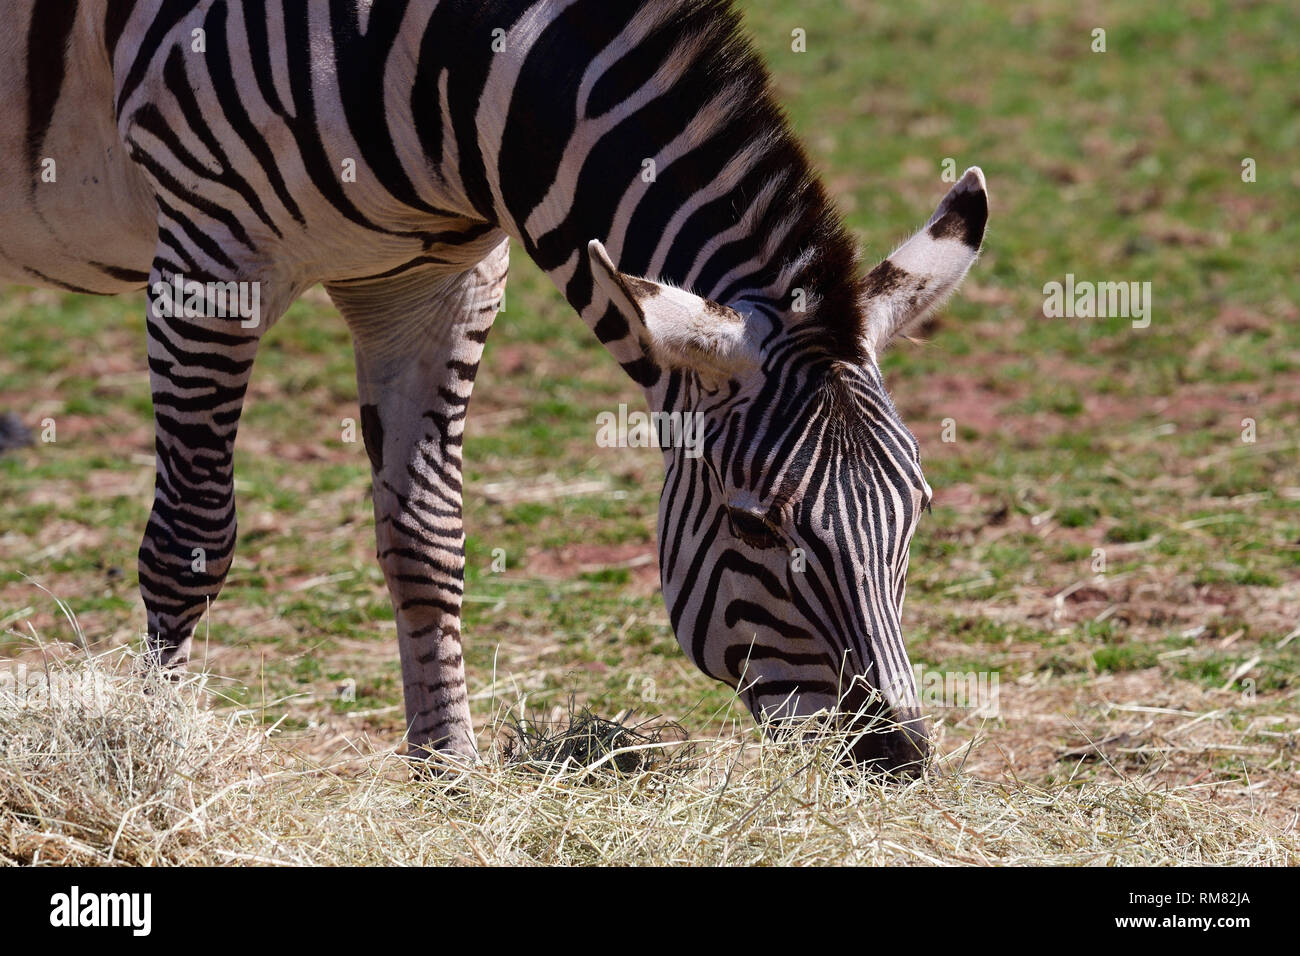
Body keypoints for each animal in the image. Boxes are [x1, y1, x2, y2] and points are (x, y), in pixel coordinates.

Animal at [2, 0, 987, 773]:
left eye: (919, 509)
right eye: (754, 526)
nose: (901, 763)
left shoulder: (437, 284)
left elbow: (427, 538)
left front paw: (451, 774)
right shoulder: (209, 263)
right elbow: (189, 542)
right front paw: (149, 759)